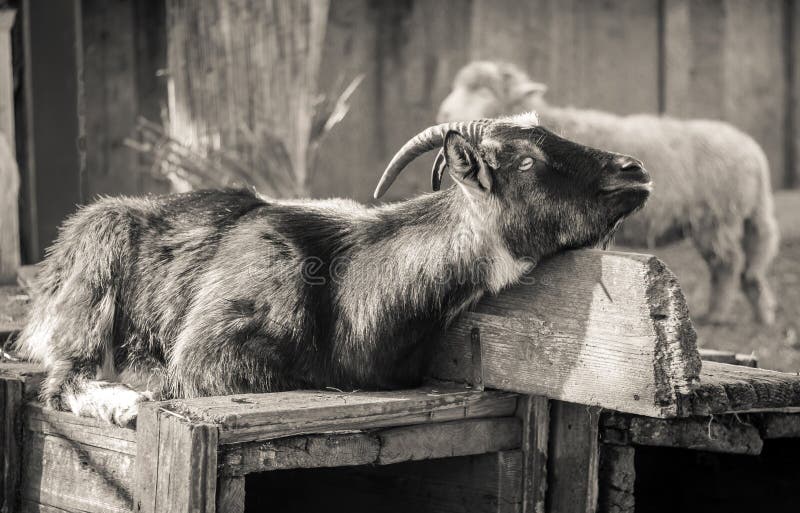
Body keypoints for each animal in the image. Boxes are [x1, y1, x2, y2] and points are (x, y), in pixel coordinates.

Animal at [17, 113, 650, 426]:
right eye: (526, 161)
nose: (635, 170)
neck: (354, 280)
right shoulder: (207, 357)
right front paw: (141, 392)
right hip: (95, 278)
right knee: (60, 381)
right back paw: (124, 404)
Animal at [437, 61, 779, 325]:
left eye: (485, 91)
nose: (444, 111)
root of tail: (756, 155)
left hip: (717, 217)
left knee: (727, 264)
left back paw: (717, 314)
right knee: (750, 269)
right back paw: (763, 315)